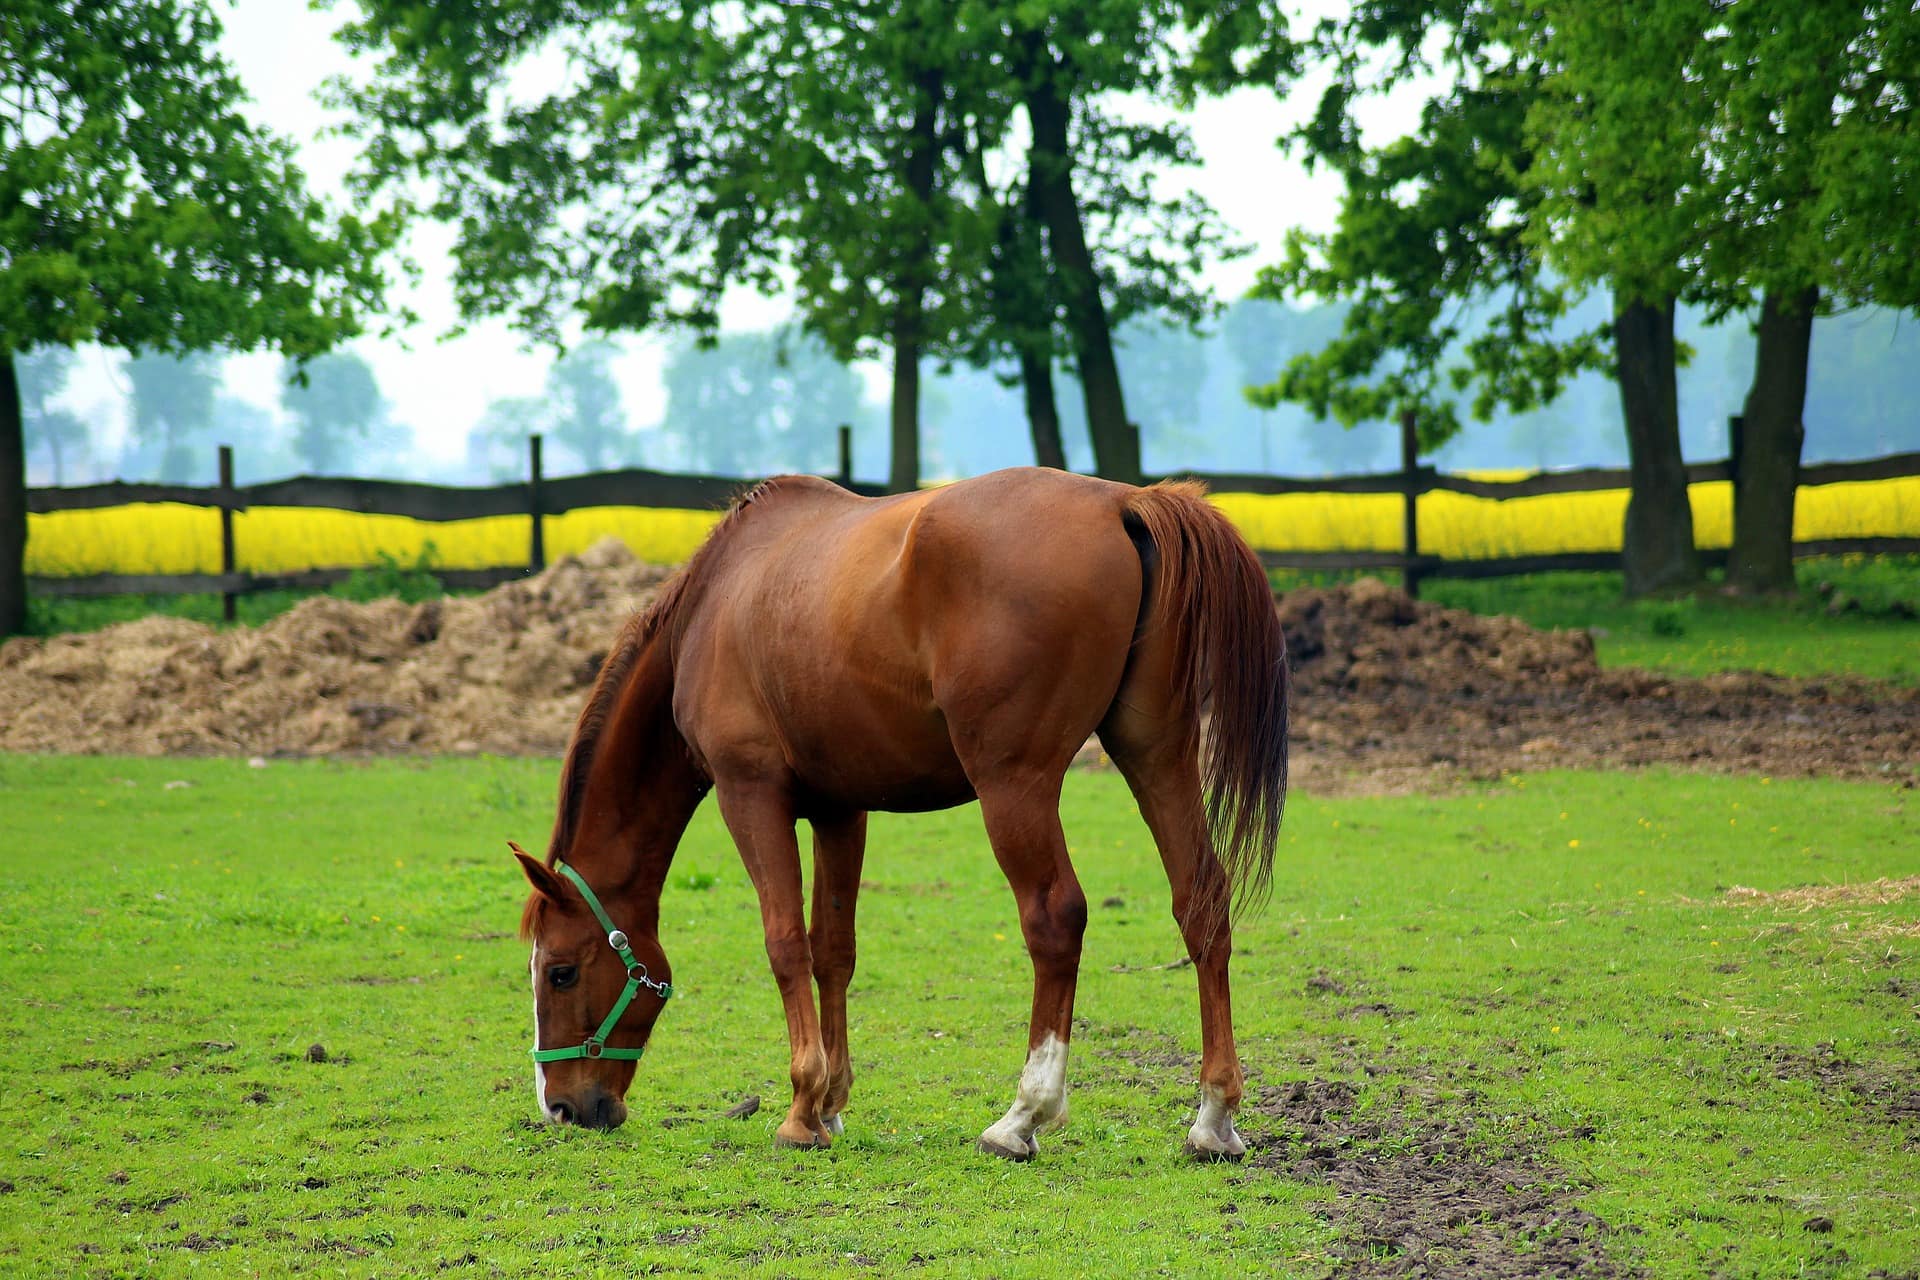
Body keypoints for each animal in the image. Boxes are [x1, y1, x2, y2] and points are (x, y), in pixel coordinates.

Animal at [514, 466, 1290, 1160]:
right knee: (1200, 903)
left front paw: (799, 1110)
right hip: (1155, 756)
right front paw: (829, 1106)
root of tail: (1124, 501)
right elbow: (833, 949)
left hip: (1016, 785)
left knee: (1055, 918)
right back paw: (1213, 1118)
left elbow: (784, 944)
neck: (714, 607)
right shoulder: (839, 809)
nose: (560, 1107)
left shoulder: (749, 793)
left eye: (560, 972)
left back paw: (1023, 1116)